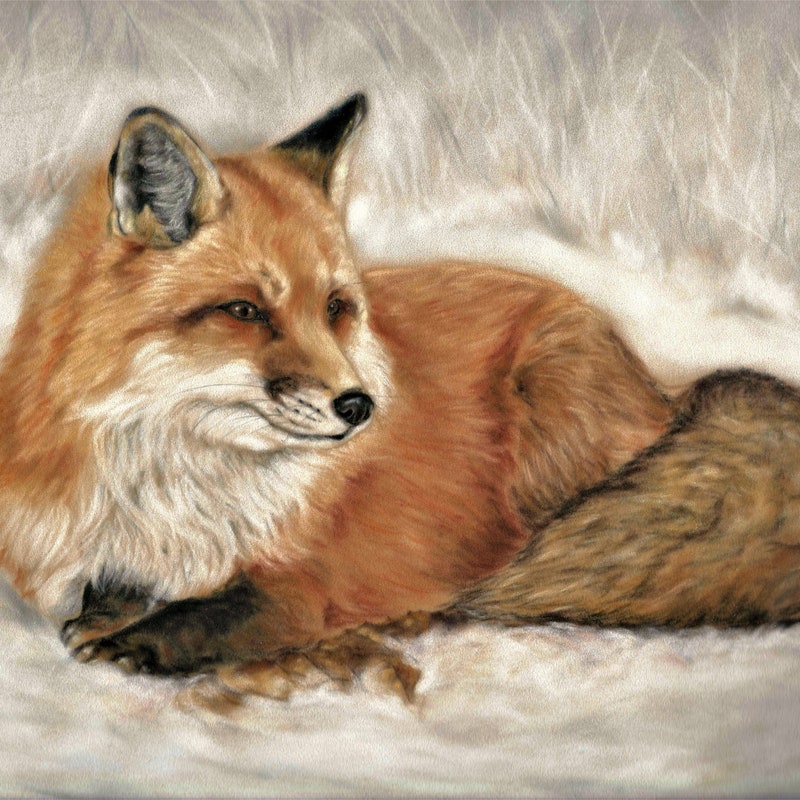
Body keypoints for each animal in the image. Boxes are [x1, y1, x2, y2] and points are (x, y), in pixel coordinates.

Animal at [1, 94, 798, 688]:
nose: (359, 407)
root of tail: (664, 390)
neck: (177, 467)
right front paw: (112, 612)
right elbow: (111, 587)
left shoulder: (313, 579)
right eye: (246, 312)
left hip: (548, 416)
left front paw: (147, 637)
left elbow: (229, 610)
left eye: (335, 307)